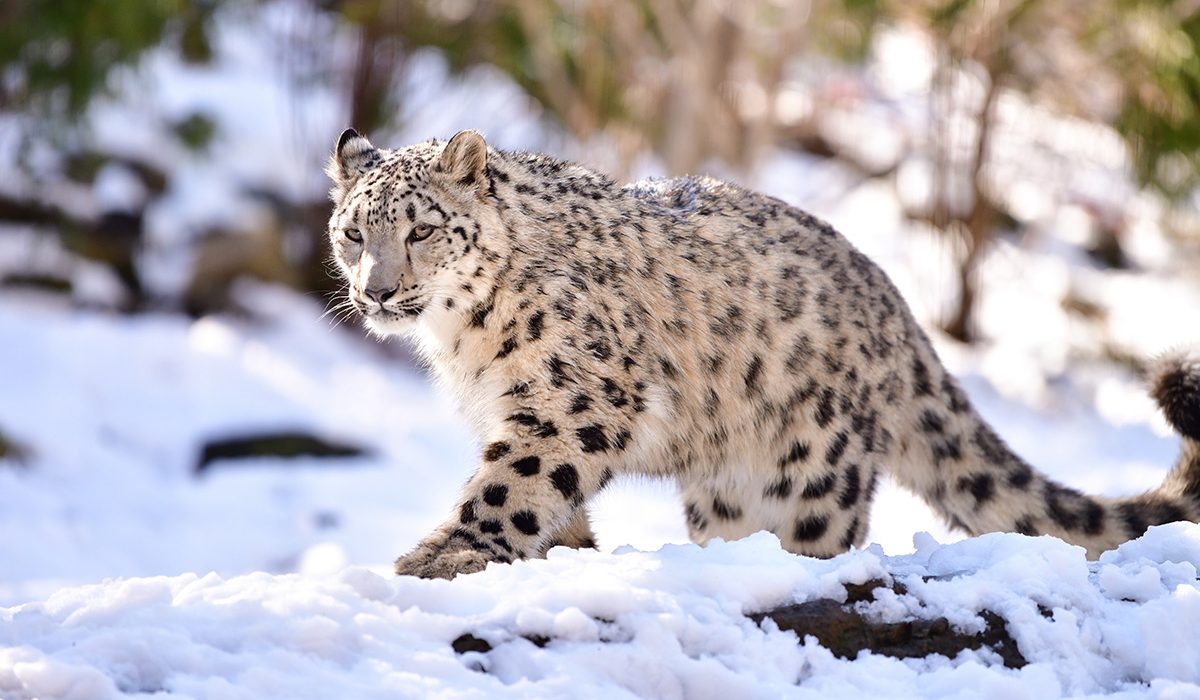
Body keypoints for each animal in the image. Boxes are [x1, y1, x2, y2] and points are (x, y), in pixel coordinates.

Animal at [325, 128, 1200, 579]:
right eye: (353, 232)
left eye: (423, 229)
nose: (376, 292)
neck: (462, 342)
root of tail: (894, 309)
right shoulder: (519, 410)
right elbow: (546, 498)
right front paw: (563, 554)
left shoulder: (573, 401)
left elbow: (514, 485)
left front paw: (439, 557)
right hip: (730, 488)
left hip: (812, 474)